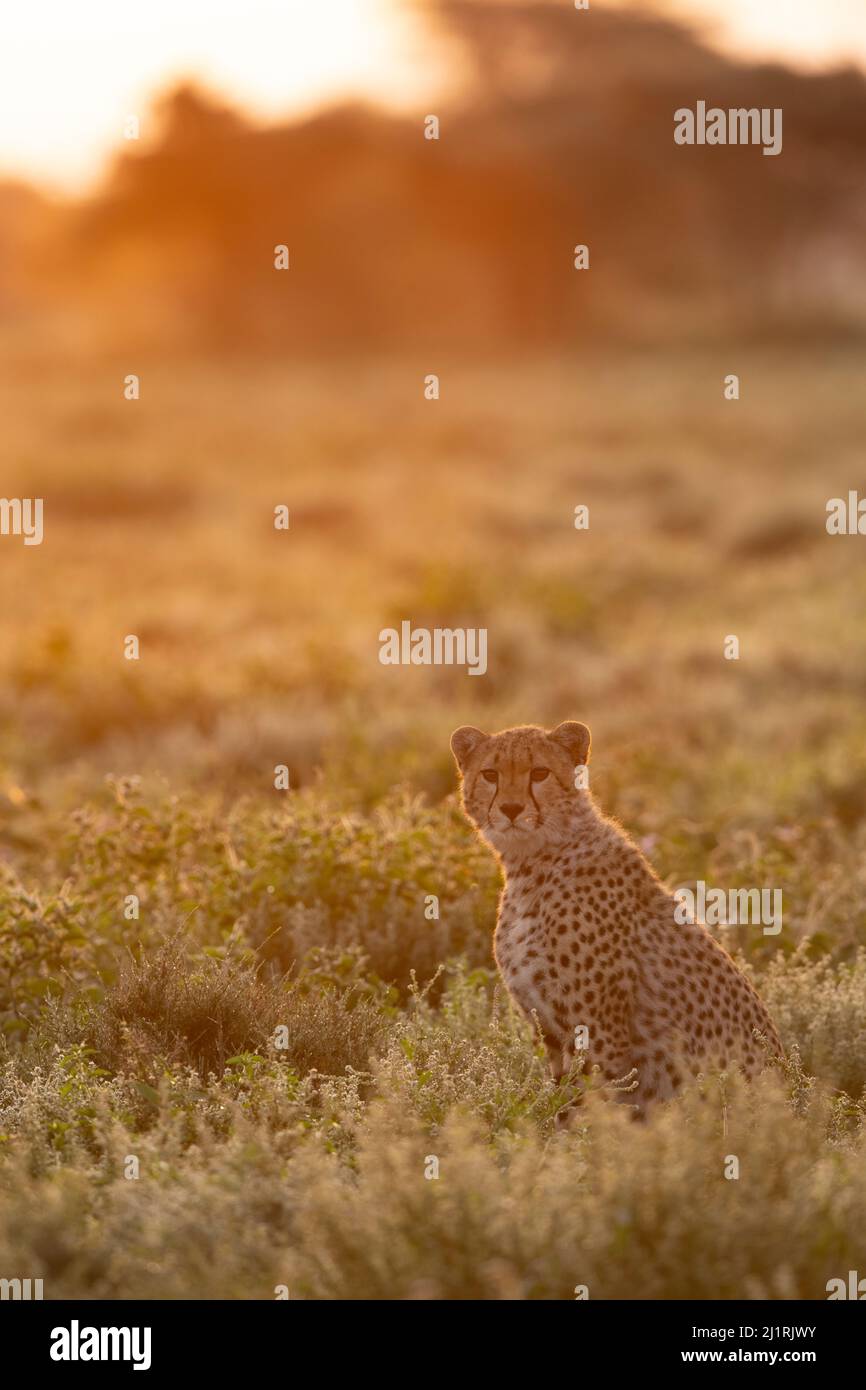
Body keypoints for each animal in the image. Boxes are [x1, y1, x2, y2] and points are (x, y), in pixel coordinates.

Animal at [450, 719, 783, 1113]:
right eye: (490, 774)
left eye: (540, 773)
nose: (512, 808)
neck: (532, 863)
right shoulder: (549, 1031)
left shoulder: (599, 1033)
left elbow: (589, 1107)